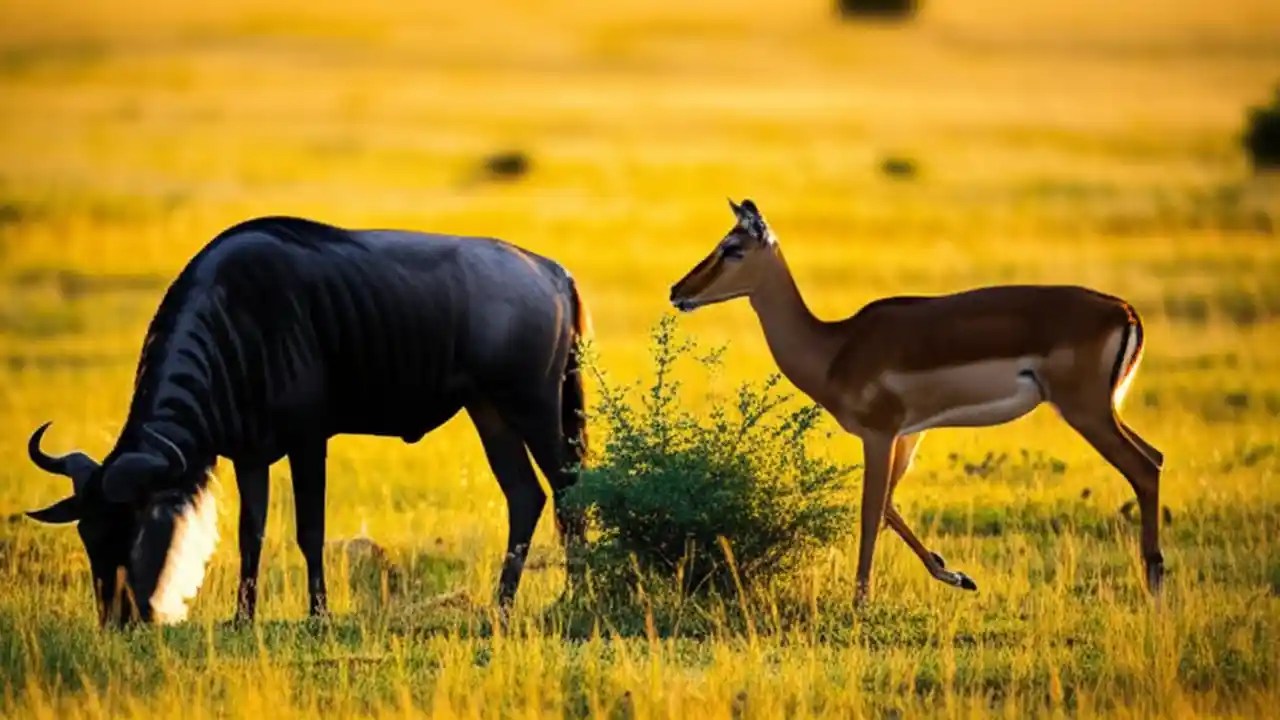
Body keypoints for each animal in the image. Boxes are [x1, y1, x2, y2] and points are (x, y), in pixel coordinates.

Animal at [668, 199, 1164, 603]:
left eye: (732, 247)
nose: (678, 291)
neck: (836, 348)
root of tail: (1124, 312)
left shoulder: (878, 434)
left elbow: (870, 512)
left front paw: (860, 602)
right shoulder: (909, 435)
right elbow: (889, 508)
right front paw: (956, 575)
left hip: (1086, 413)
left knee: (1142, 468)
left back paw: (1155, 582)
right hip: (1103, 411)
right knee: (1156, 457)